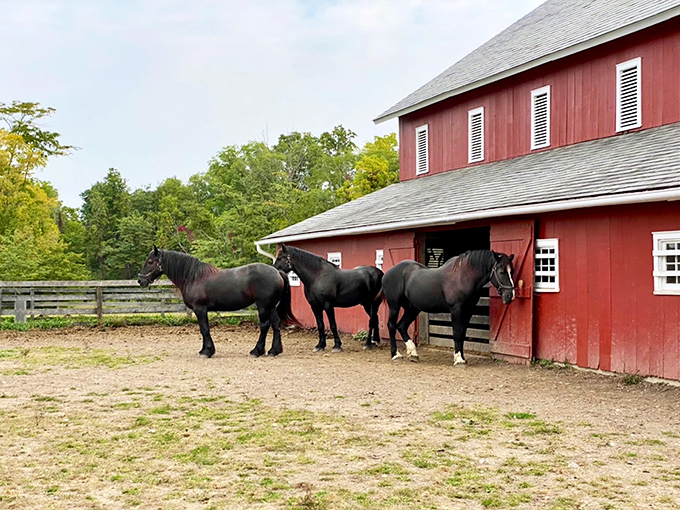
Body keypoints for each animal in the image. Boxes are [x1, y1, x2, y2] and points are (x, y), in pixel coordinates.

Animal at [137, 246, 298, 358]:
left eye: (150, 261)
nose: (140, 280)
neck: (194, 277)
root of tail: (277, 272)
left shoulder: (200, 309)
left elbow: (204, 329)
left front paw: (207, 351)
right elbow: (203, 329)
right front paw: (205, 349)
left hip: (263, 306)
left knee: (264, 325)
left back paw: (256, 351)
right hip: (271, 306)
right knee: (276, 324)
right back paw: (274, 350)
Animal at [381, 249, 516, 364]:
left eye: (512, 272)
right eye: (501, 272)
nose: (510, 295)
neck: (463, 276)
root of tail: (386, 274)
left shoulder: (468, 311)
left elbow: (462, 334)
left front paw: (462, 357)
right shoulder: (456, 309)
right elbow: (456, 334)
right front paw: (458, 359)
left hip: (412, 309)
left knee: (402, 326)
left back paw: (413, 354)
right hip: (394, 306)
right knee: (392, 326)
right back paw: (395, 354)